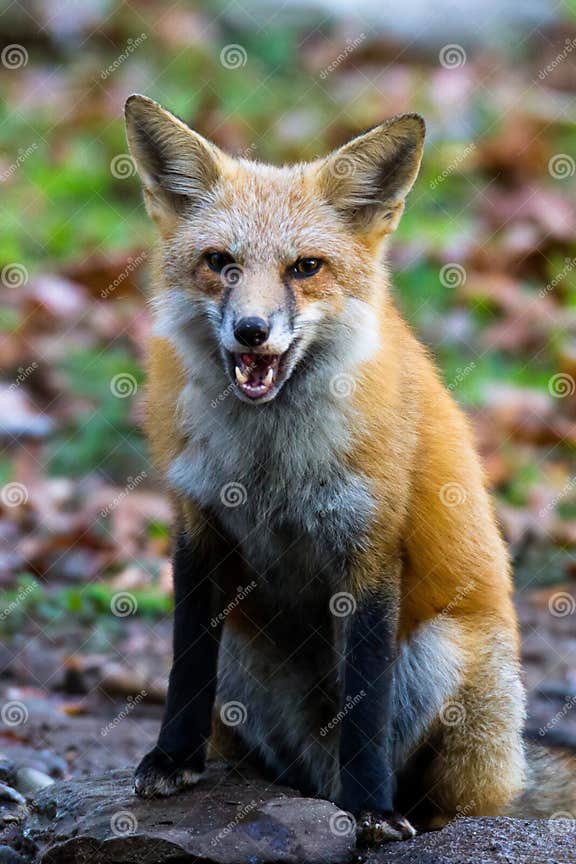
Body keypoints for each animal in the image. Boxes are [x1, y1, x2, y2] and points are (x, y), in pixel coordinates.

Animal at [124, 94, 576, 844]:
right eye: (220, 262)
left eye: (305, 267)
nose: (252, 330)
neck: (268, 463)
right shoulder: (197, 520)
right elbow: (185, 662)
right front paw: (172, 759)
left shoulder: (369, 543)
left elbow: (365, 704)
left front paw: (369, 810)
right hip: (243, 659)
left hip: (442, 655)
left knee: (448, 799)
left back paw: (401, 809)